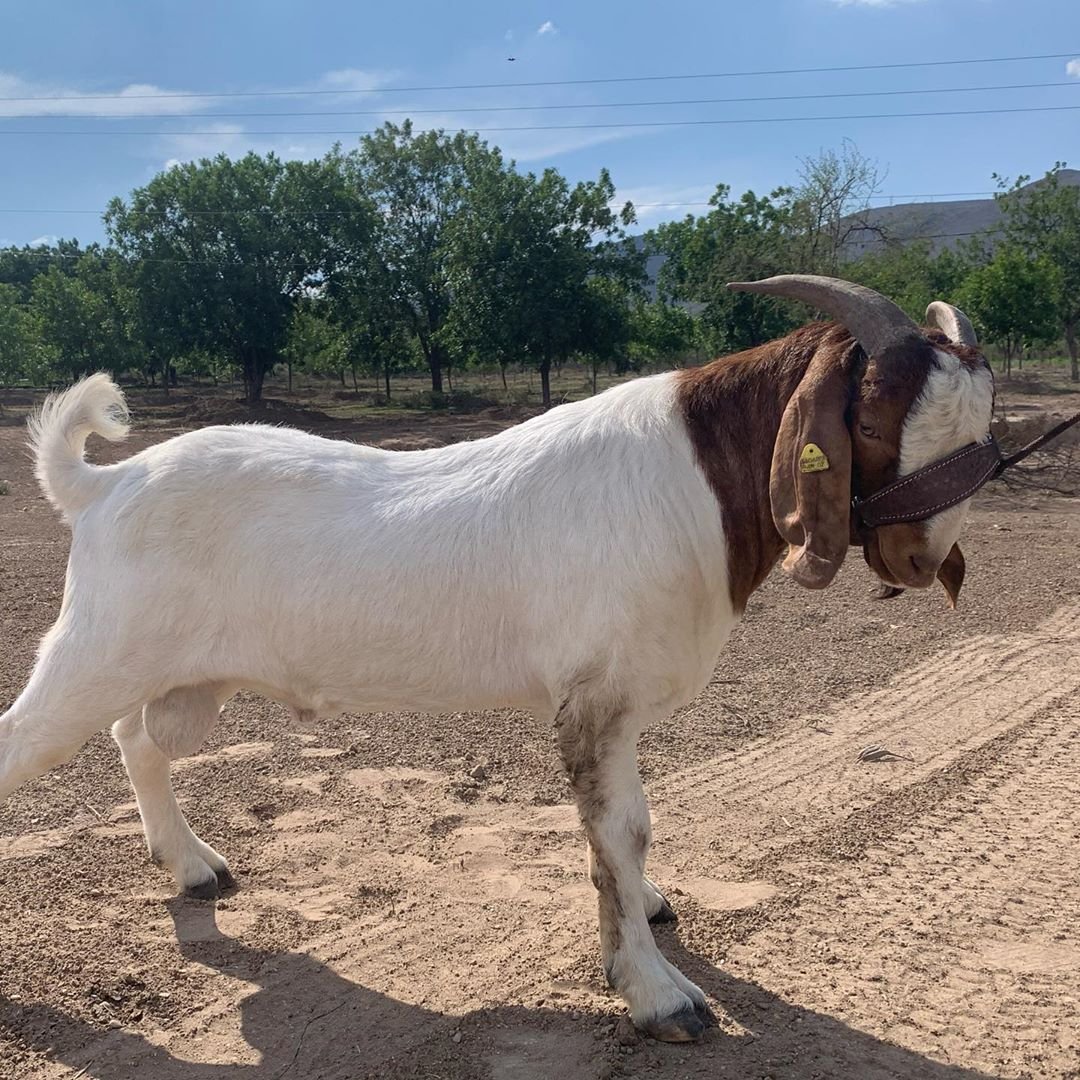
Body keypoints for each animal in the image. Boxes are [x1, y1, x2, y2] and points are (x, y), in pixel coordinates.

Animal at [0, 276, 995, 1042]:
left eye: (984, 438)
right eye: (874, 422)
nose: (919, 558)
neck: (697, 482)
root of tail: (103, 484)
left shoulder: (621, 704)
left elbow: (635, 831)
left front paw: (653, 908)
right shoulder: (594, 699)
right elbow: (617, 832)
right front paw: (657, 994)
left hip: (185, 680)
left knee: (138, 739)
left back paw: (192, 865)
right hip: (98, 649)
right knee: (31, 740)